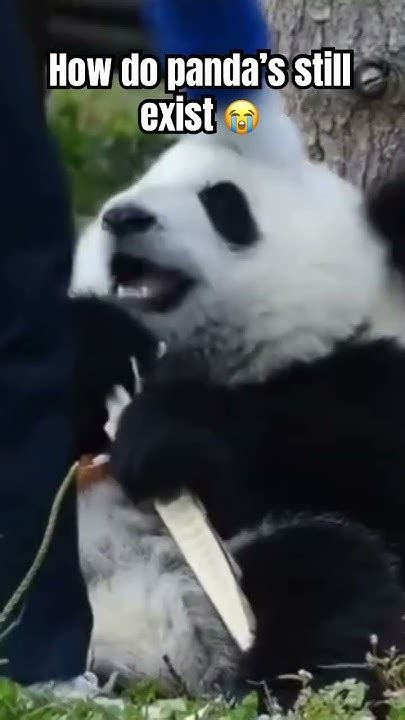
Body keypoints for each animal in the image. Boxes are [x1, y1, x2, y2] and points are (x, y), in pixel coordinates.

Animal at [69, 0, 405, 711]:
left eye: (224, 203)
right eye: (142, 181)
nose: (123, 218)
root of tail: (146, 659)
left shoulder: (364, 375)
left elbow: (349, 459)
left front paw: (164, 435)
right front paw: (102, 339)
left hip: (241, 572)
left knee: (331, 576)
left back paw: (291, 690)